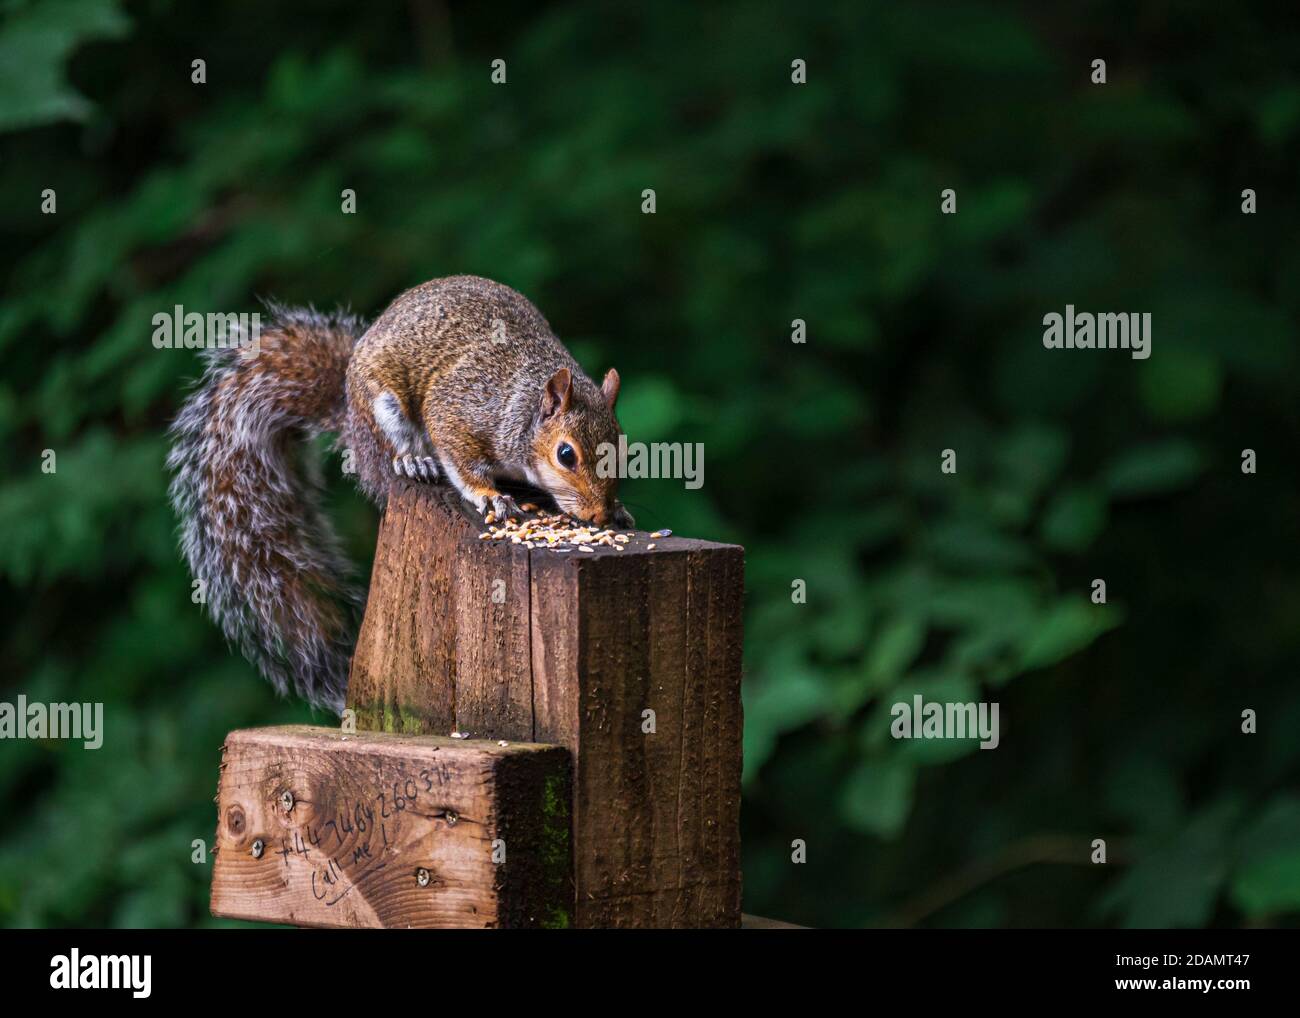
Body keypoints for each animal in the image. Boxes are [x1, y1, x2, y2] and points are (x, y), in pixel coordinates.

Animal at [168, 275, 632, 714]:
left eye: (622, 447)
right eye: (566, 454)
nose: (597, 515)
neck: (520, 406)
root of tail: (352, 424)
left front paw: (621, 512)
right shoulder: (458, 409)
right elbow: (462, 459)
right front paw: (490, 496)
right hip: (384, 410)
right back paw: (412, 462)